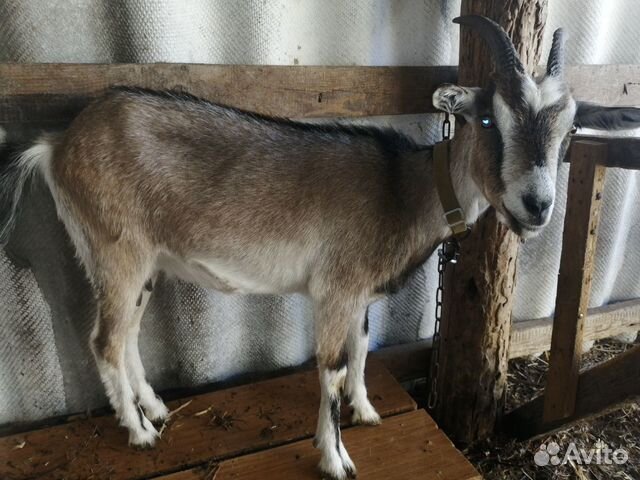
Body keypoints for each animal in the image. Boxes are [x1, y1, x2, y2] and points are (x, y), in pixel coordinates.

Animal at [1, 15, 639, 480]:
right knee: (106, 340)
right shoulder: (336, 288)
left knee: (128, 334)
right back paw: (139, 433)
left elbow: (361, 349)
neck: (406, 188)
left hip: (142, 261)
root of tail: (57, 144)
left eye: (570, 129)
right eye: (487, 119)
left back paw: (153, 409)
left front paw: (367, 412)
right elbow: (332, 367)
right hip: (118, 249)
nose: (537, 206)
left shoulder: (356, 294)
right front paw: (336, 460)